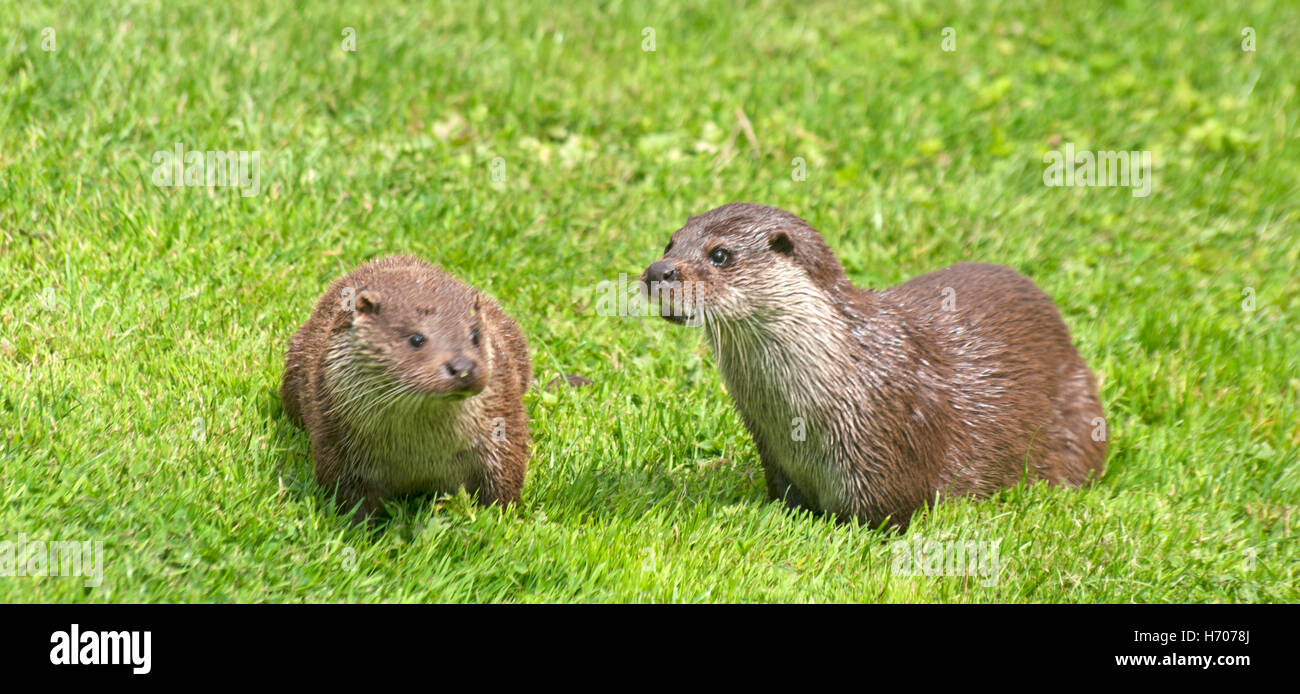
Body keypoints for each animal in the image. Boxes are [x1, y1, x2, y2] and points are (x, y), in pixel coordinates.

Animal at [281, 255, 531, 522]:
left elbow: (505, 479)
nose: (463, 367)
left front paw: (498, 518)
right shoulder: (334, 437)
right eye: (416, 338)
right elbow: (348, 497)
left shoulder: (503, 417)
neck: (421, 454)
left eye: (474, 335)